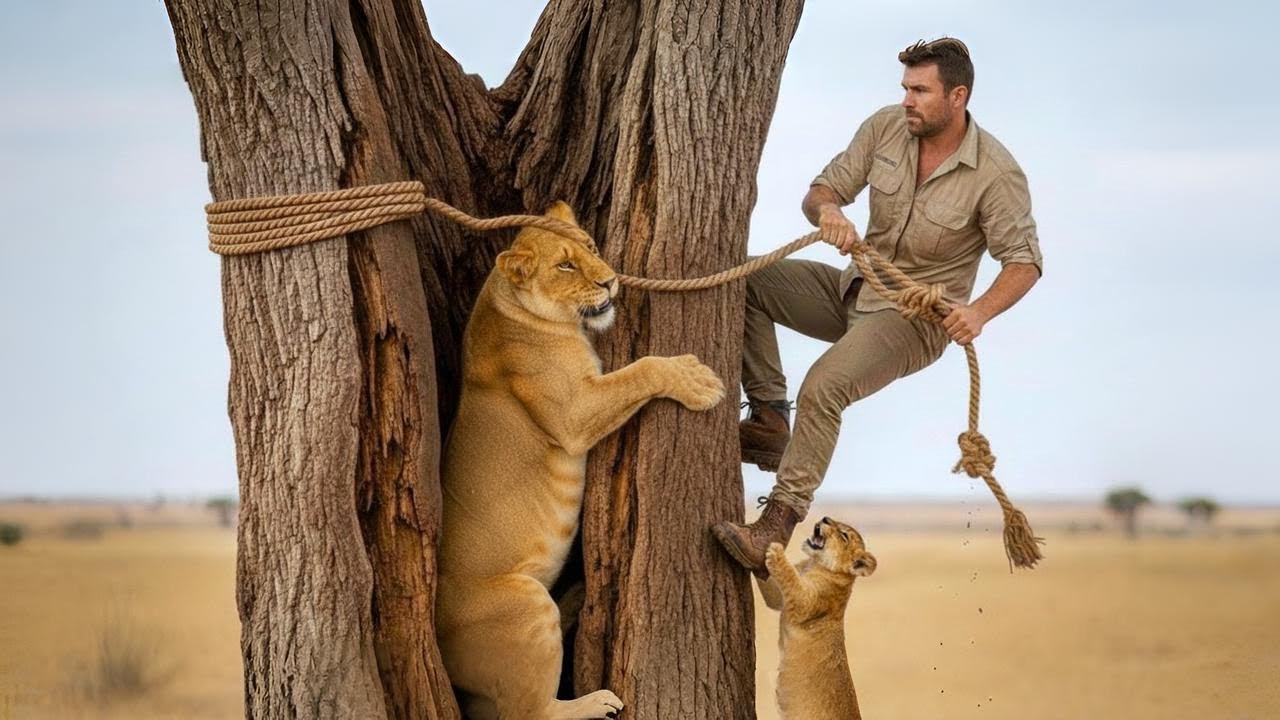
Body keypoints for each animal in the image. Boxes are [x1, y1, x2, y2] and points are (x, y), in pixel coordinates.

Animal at [436, 201, 726, 720]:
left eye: (591, 247)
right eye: (565, 266)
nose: (610, 282)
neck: (506, 301)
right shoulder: (574, 412)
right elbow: (643, 368)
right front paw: (697, 381)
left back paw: (577, 598)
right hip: (525, 603)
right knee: (528, 713)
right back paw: (595, 701)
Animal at [758, 517, 877, 720]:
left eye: (844, 535)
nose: (825, 518)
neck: (814, 564)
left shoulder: (805, 601)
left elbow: (790, 578)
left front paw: (776, 551)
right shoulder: (779, 598)